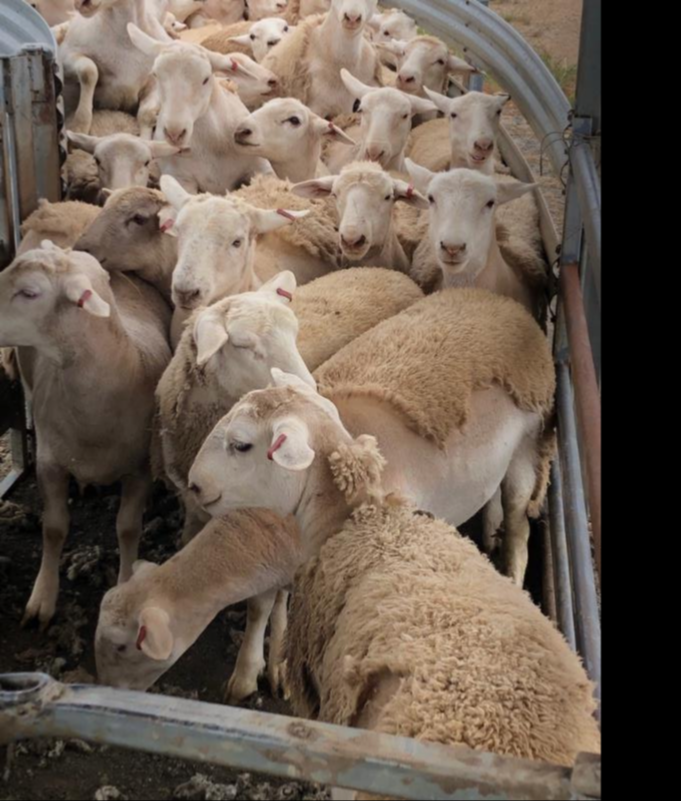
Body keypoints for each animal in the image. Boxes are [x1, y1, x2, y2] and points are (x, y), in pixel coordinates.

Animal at [0, 242, 171, 626]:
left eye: (30, 292)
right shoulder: (49, 461)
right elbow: (54, 528)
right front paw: (42, 599)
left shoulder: (139, 469)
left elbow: (128, 528)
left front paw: (124, 585)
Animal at [58, 0, 172, 134]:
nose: (79, 3)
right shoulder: (65, 54)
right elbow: (89, 71)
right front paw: (79, 126)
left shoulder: (154, 82)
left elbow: (146, 115)